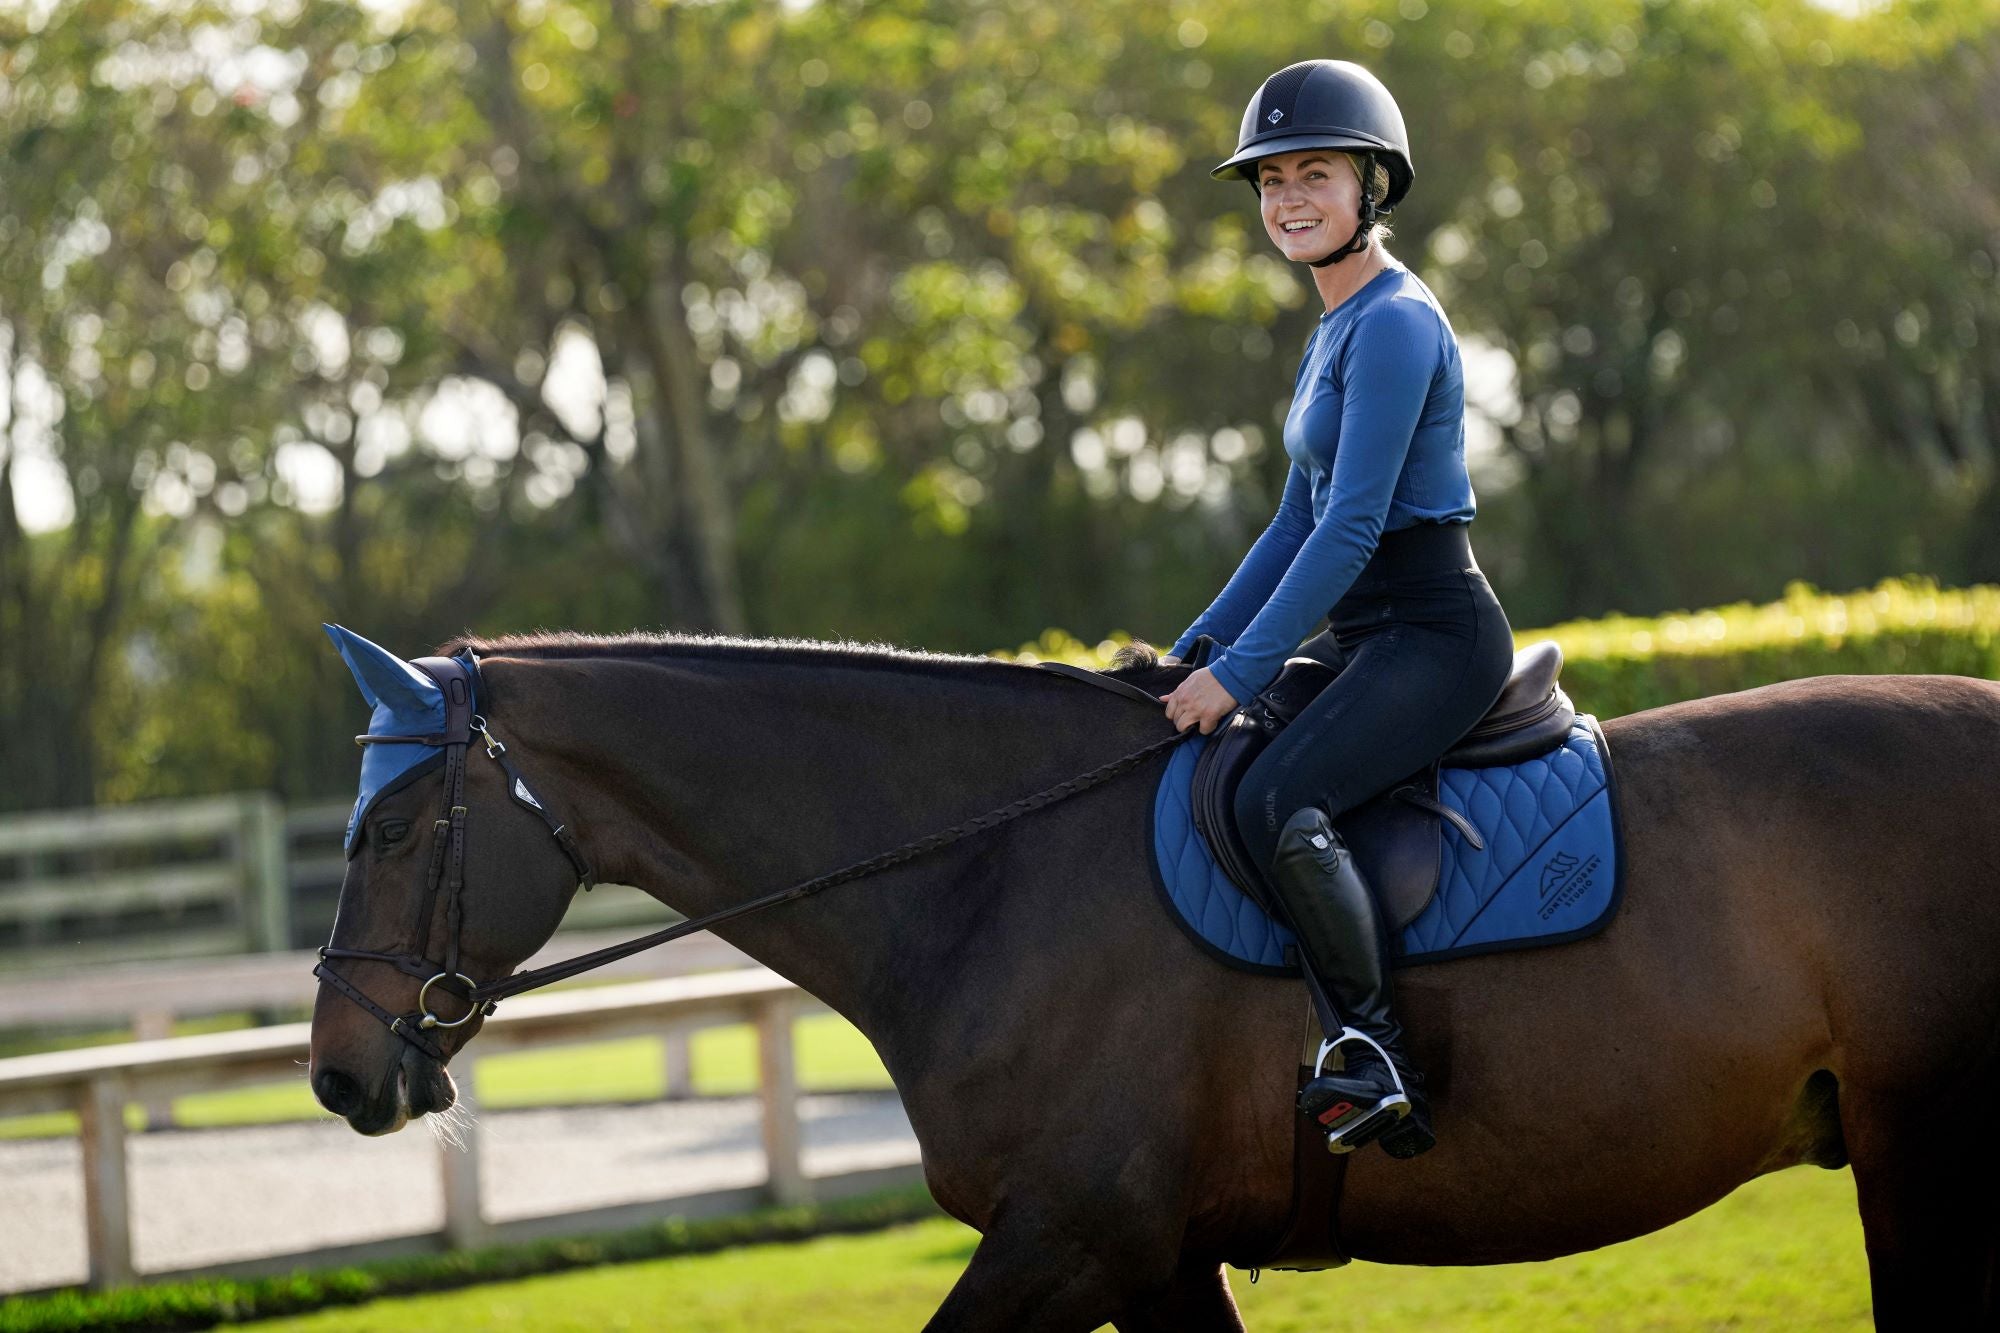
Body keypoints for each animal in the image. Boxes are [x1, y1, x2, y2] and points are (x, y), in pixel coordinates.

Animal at [306, 628, 2000, 1329]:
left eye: (388, 826)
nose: (337, 1070)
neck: (987, 872)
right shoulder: (1158, 1259)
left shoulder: (1074, 1239)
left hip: (1925, 1145)